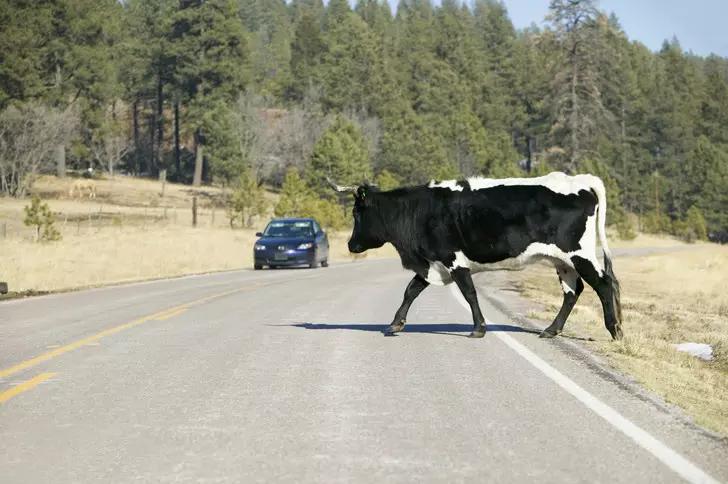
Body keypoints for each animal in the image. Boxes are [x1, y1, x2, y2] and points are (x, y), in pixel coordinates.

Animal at [328, 172, 624, 342]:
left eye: (356, 213)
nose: (351, 245)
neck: (419, 211)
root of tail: (579, 180)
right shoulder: (433, 262)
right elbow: (411, 290)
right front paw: (395, 324)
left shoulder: (452, 259)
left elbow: (469, 292)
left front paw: (479, 328)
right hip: (563, 260)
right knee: (573, 291)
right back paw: (551, 330)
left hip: (579, 253)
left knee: (603, 283)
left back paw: (615, 330)